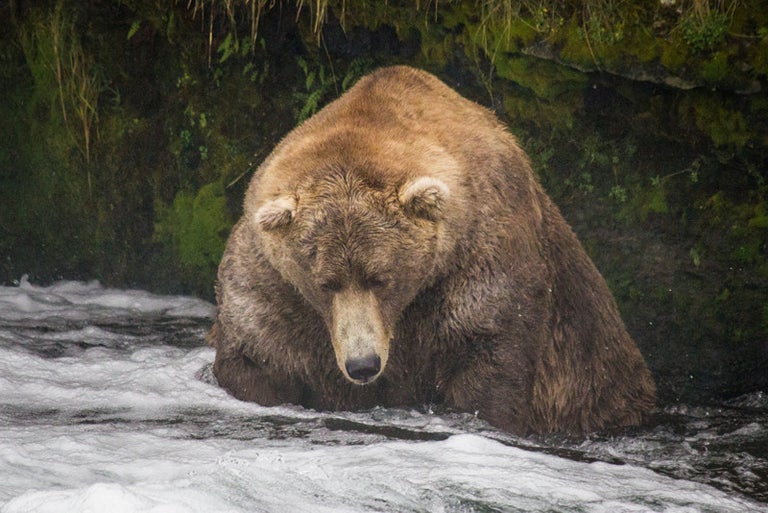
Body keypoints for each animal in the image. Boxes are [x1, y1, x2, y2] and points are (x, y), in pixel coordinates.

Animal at [208, 65, 656, 436]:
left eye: (381, 278)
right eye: (325, 283)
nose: (363, 365)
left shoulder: (477, 258)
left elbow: (492, 354)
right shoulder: (275, 287)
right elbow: (256, 350)